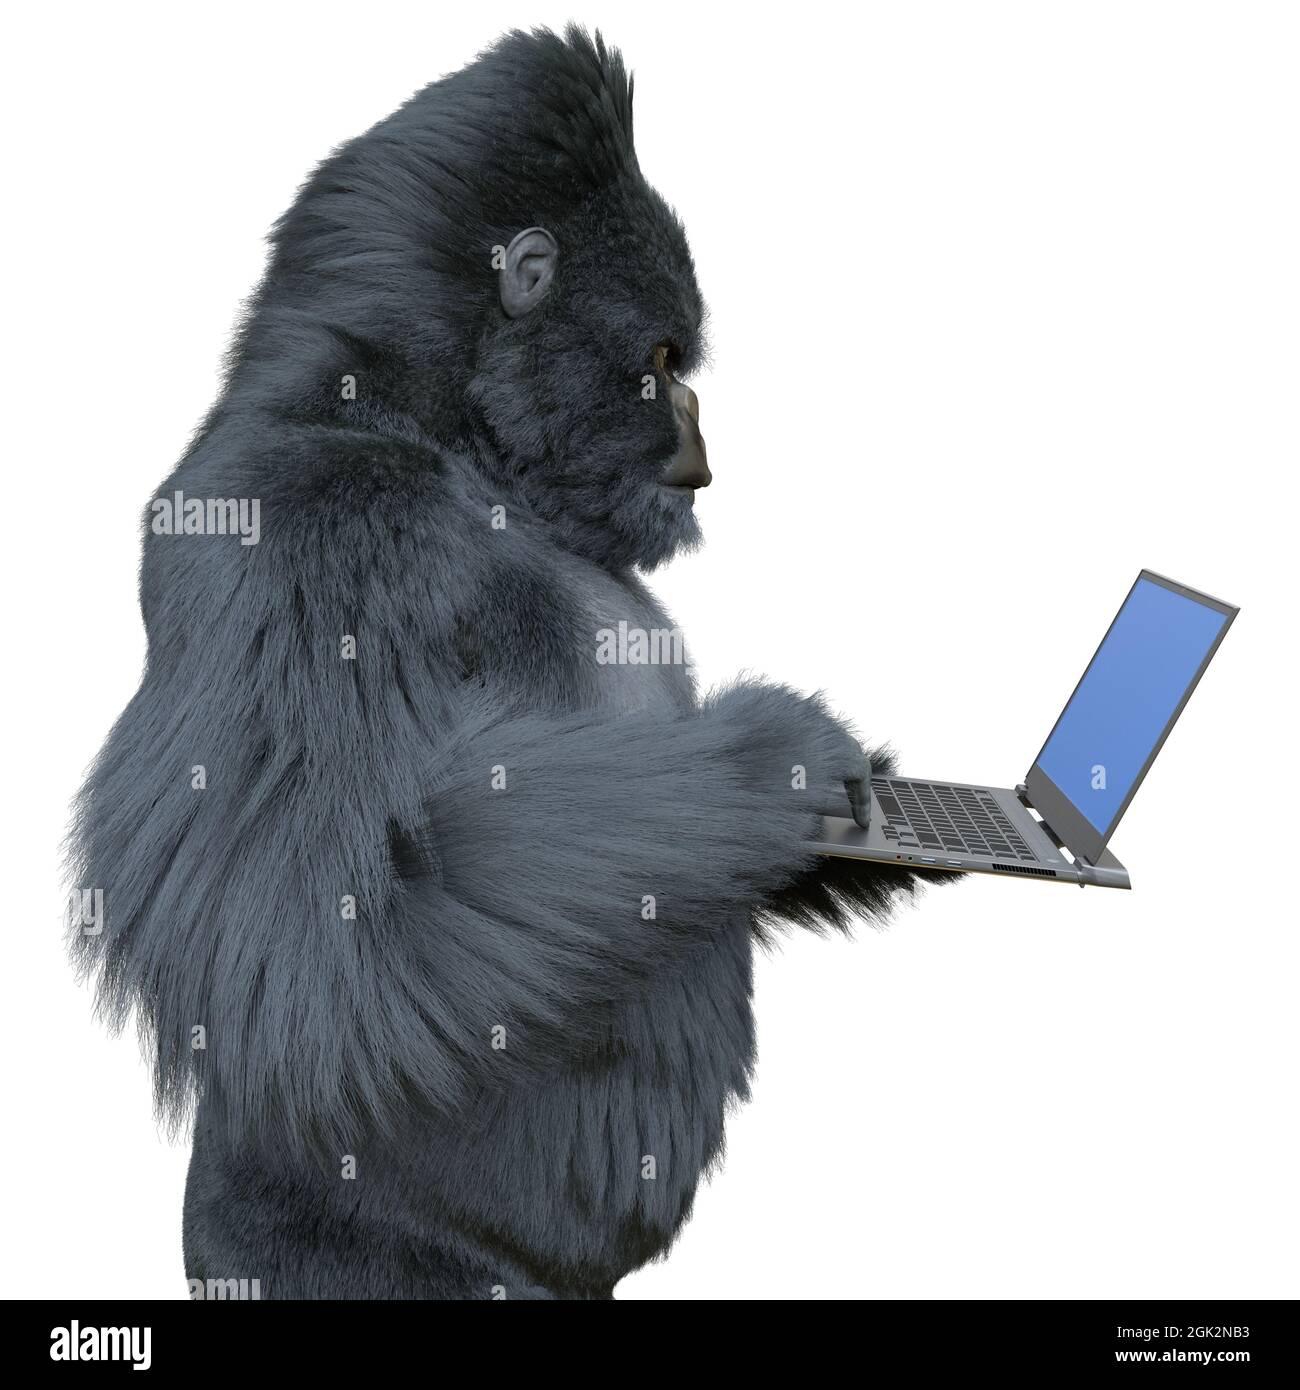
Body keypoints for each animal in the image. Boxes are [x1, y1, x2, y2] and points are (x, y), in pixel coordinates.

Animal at [69, 26, 949, 1300]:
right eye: (663, 357)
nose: (699, 429)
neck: (437, 429)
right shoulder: (306, 530)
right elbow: (331, 952)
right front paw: (777, 762)